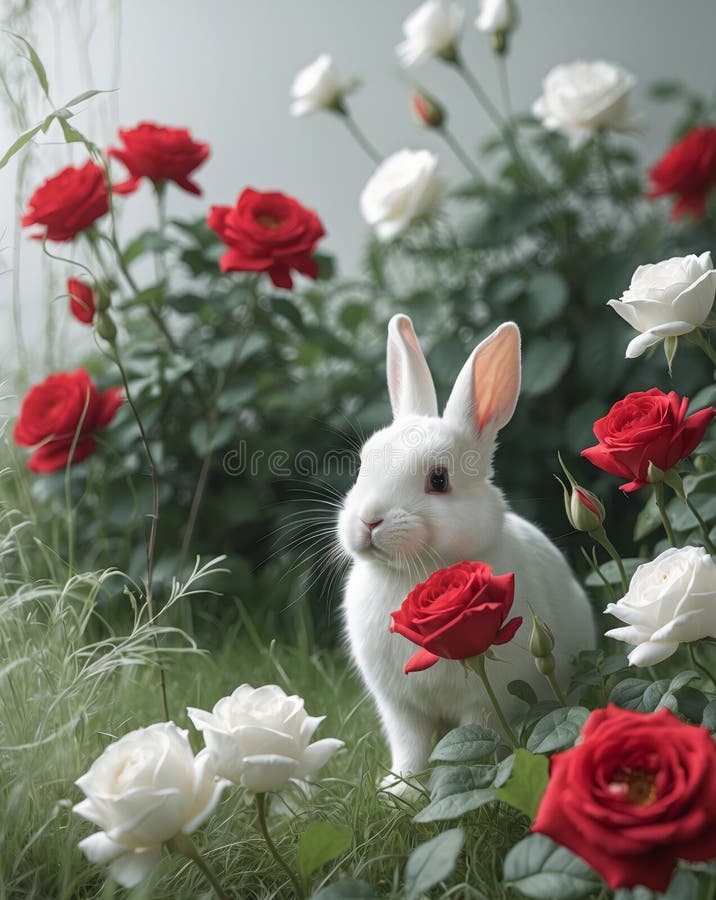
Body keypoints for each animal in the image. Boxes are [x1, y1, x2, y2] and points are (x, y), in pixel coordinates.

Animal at [337, 314, 595, 794]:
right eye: (363, 466)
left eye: (438, 480)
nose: (368, 521)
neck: (408, 574)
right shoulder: (400, 709)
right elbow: (411, 750)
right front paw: (399, 790)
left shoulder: (487, 701)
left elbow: (475, 739)